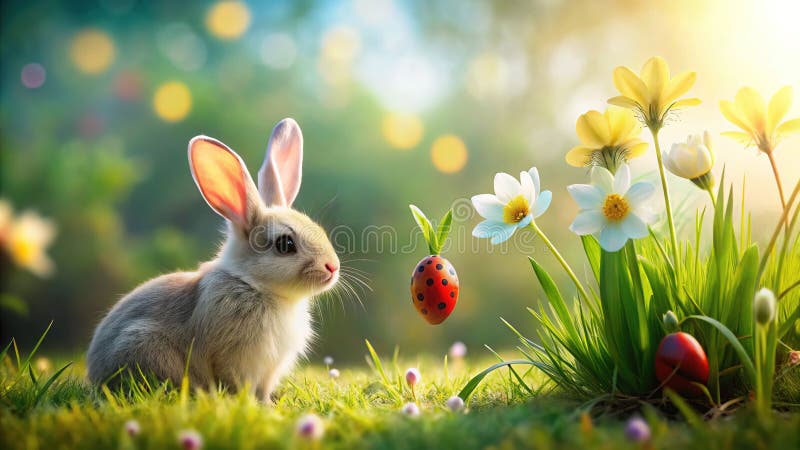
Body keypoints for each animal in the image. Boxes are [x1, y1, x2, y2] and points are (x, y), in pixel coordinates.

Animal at [86, 118, 340, 401]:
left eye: (318, 229)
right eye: (285, 244)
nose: (333, 267)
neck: (255, 285)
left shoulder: (268, 370)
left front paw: (267, 404)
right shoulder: (234, 359)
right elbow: (239, 383)